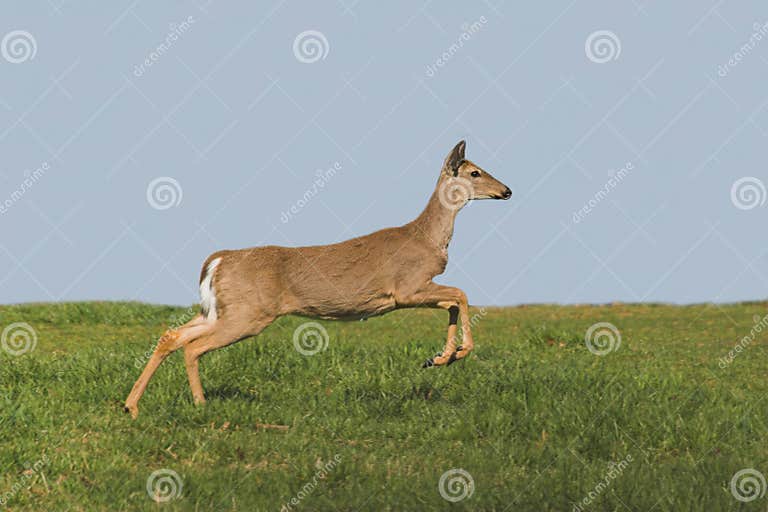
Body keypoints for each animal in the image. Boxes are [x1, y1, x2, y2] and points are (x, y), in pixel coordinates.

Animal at [124, 140, 511, 418]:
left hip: (219, 309)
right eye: (475, 172)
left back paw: (132, 406)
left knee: (171, 335)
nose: (506, 190)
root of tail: (216, 261)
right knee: (192, 347)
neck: (428, 238)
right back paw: (200, 404)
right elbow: (461, 294)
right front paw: (454, 354)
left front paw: (440, 357)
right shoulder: (407, 287)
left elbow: (453, 302)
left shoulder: (412, 292)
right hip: (249, 314)